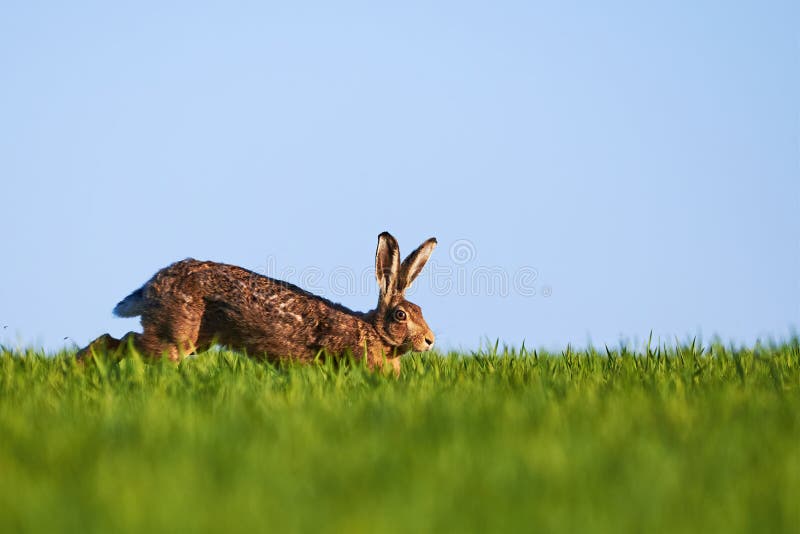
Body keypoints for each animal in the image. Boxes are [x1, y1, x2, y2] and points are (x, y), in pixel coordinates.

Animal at [77, 232, 437, 373]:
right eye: (401, 315)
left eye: (420, 311)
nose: (430, 340)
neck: (373, 331)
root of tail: (152, 286)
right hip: (176, 335)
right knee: (128, 342)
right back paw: (79, 365)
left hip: (198, 340)